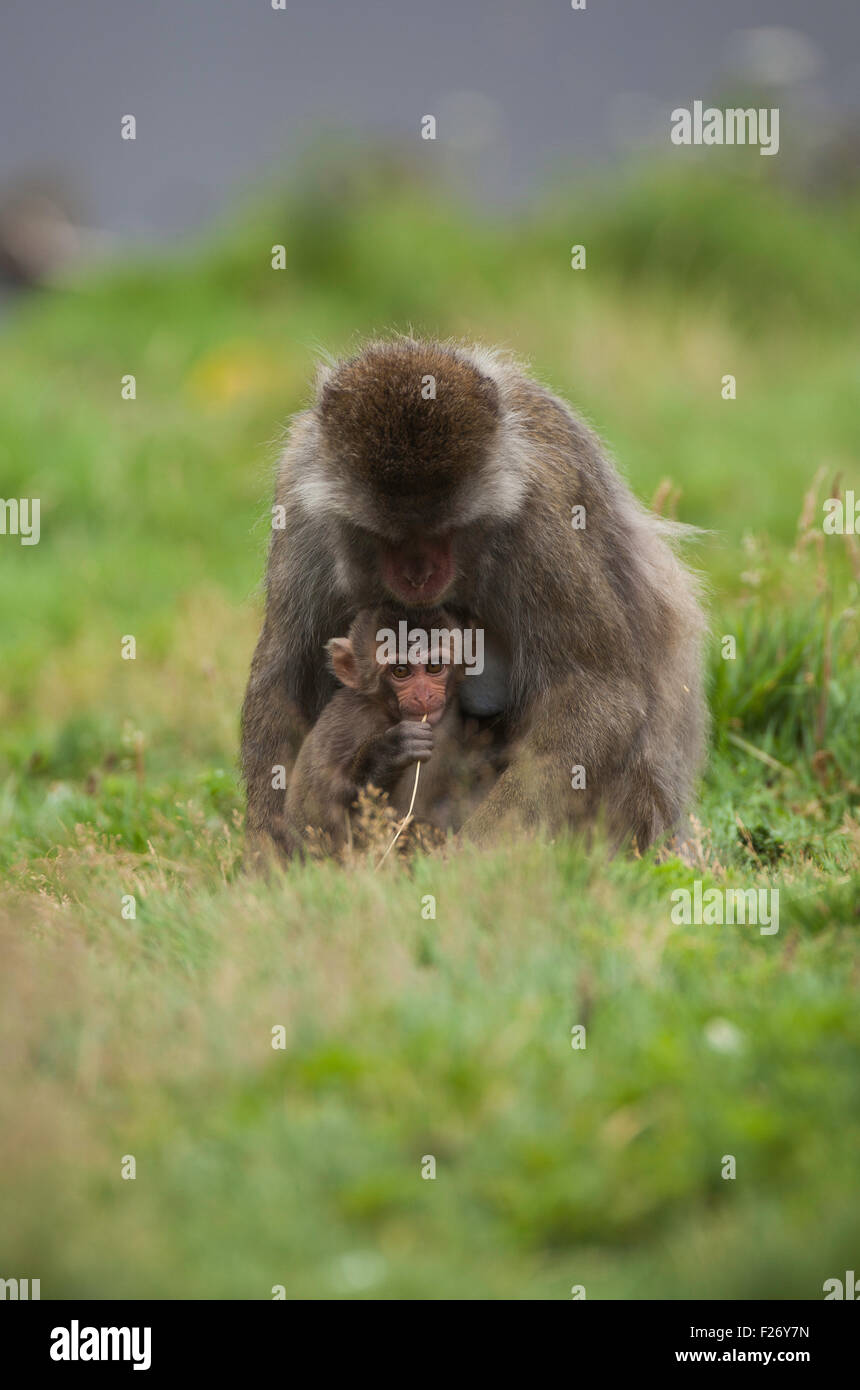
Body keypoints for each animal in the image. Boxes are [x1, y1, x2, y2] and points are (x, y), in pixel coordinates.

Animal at [284, 605, 488, 853]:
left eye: (434, 666)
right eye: (400, 671)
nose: (423, 696)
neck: (389, 714)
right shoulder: (346, 719)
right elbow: (319, 806)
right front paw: (387, 752)